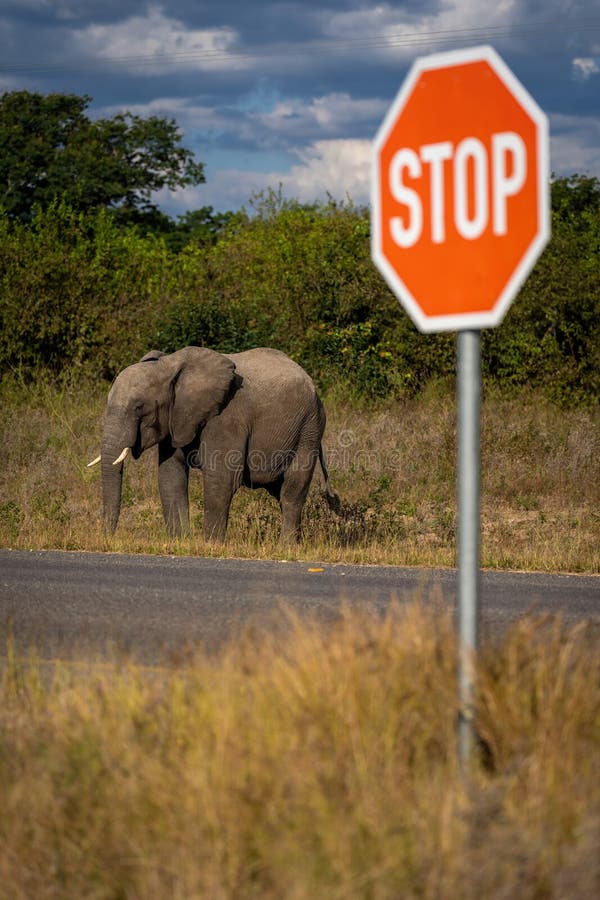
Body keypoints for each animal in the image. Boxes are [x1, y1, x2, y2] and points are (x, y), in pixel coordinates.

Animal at [88, 346, 340, 542]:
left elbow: (222, 478)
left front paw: (210, 545)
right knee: (279, 491)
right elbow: (170, 475)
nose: (107, 538)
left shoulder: (226, 418)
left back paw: (285, 546)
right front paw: (181, 542)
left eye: (139, 406)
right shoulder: (177, 418)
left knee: (292, 491)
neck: (170, 365)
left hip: (308, 428)